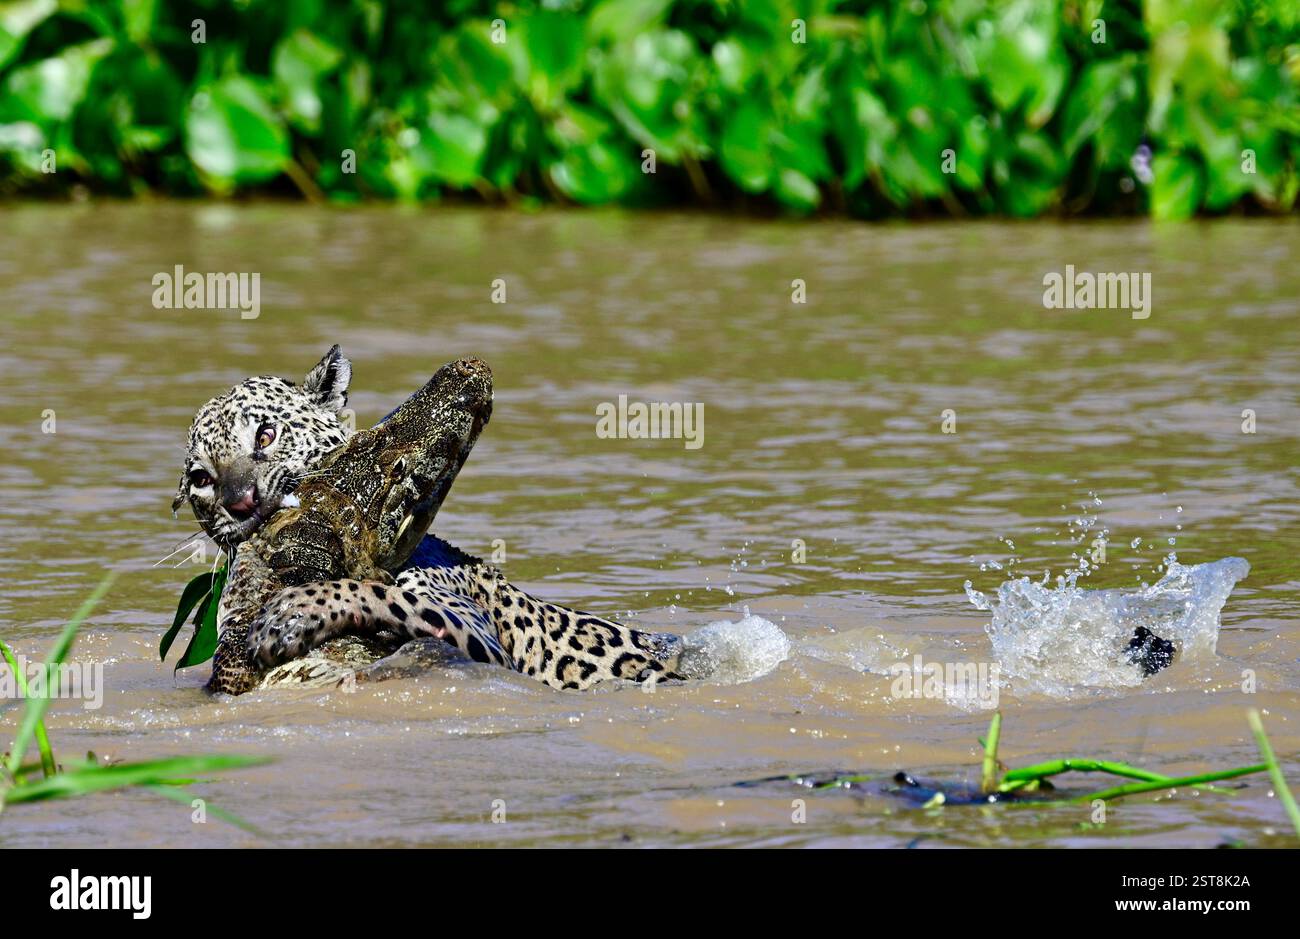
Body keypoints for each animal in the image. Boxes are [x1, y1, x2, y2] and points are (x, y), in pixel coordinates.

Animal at [174, 346, 691, 692]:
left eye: (265, 435)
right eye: (201, 479)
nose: (241, 503)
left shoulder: (483, 642)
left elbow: (386, 595)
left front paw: (294, 612)